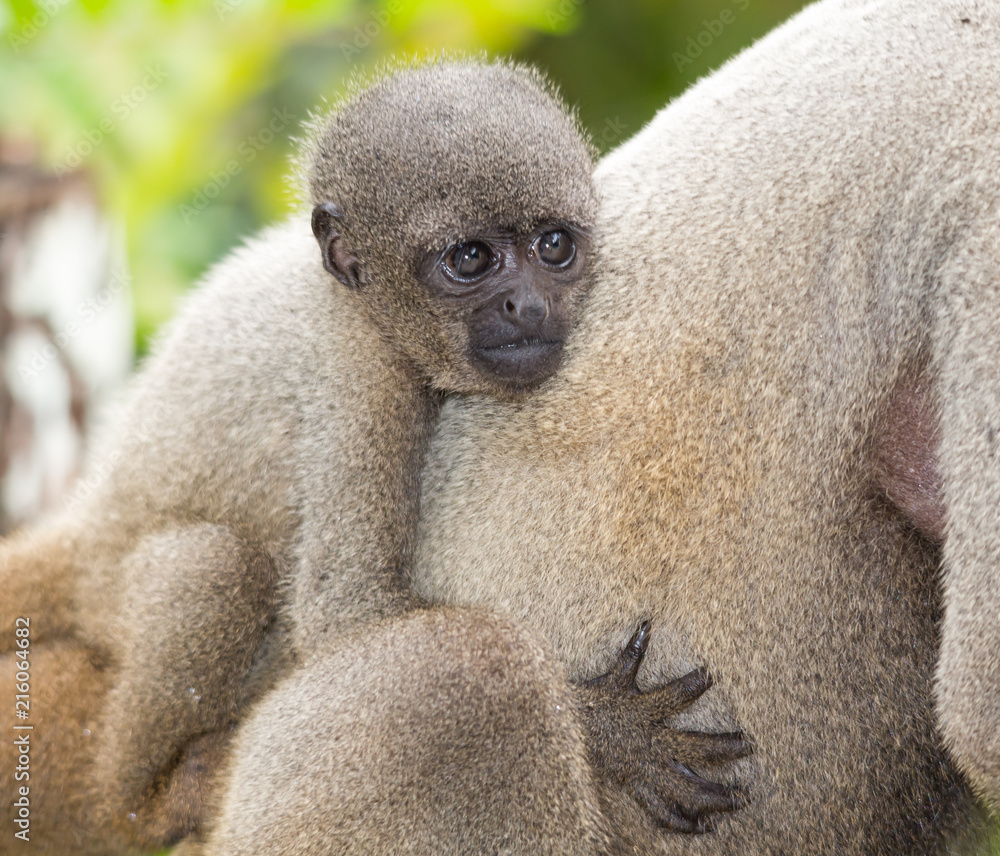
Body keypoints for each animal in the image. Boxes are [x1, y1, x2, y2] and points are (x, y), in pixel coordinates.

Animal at [0, 59, 748, 854]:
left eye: (553, 245)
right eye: (471, 258)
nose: (526, 305)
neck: (369, 308)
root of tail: (90, 519)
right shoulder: (362, 371)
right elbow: (348, 613)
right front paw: (609, 734)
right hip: (111, 589)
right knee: (211, 567)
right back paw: (143, 800)